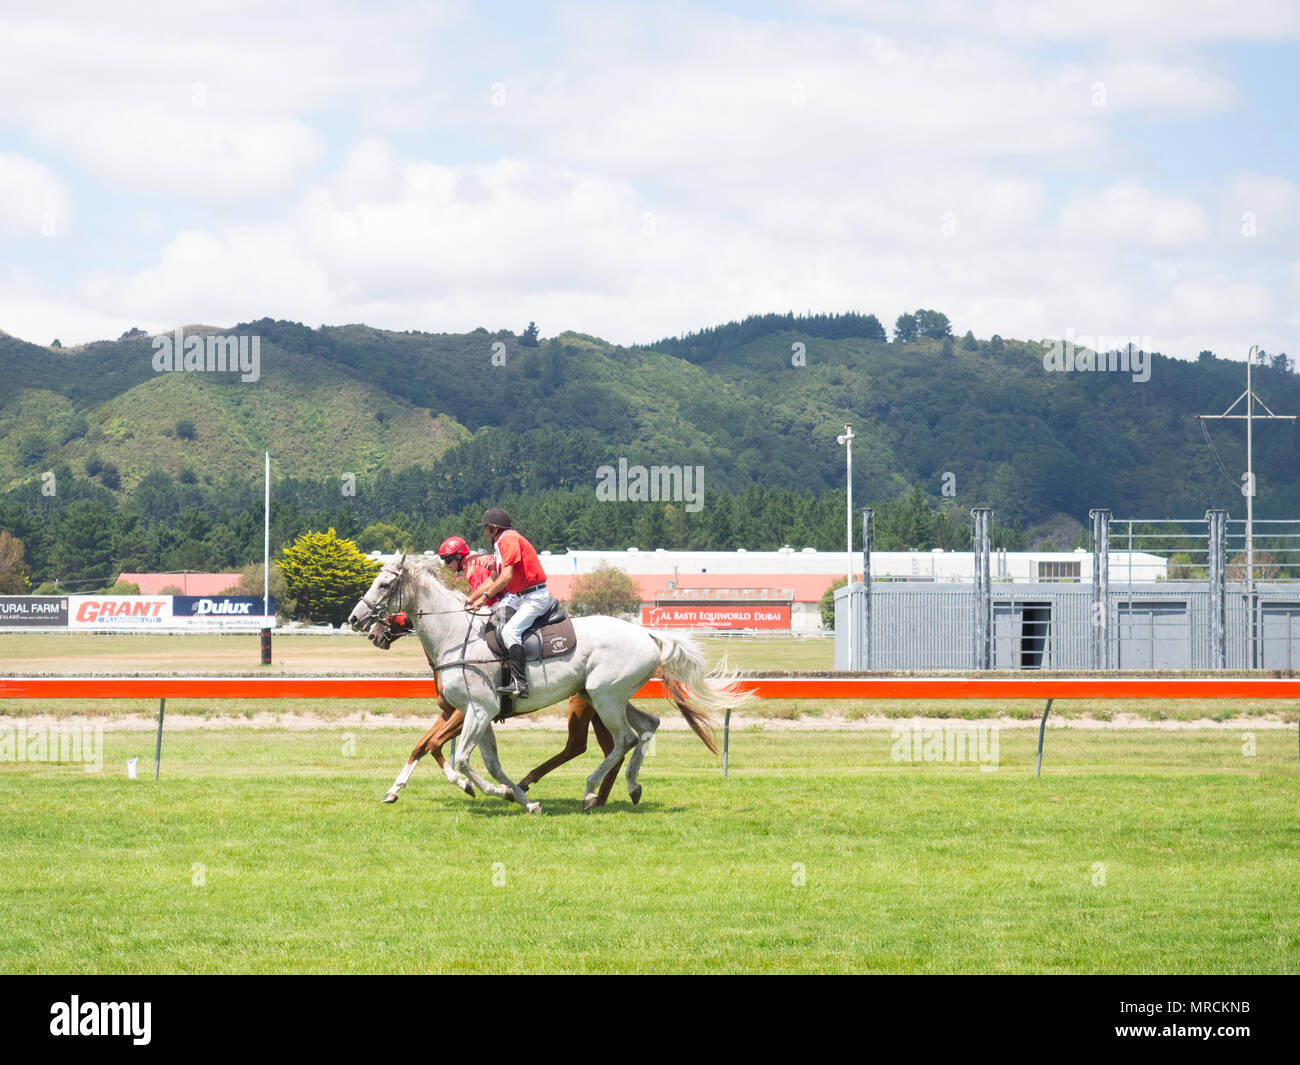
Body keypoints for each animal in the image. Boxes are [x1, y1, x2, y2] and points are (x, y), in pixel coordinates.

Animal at [348, 555, 749, 813]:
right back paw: (630, 786)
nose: (356, 620)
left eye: (385, 583)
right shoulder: (479, 714)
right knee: (647, 727)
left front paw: (488, 790)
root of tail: (647, 634)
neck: (454, 635)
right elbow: (483, 761)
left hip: (605, 697)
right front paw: (521, 799)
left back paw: (590, 793)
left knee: (623, 740)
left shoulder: (475, 711)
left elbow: (459, 759)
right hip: (603, 696)